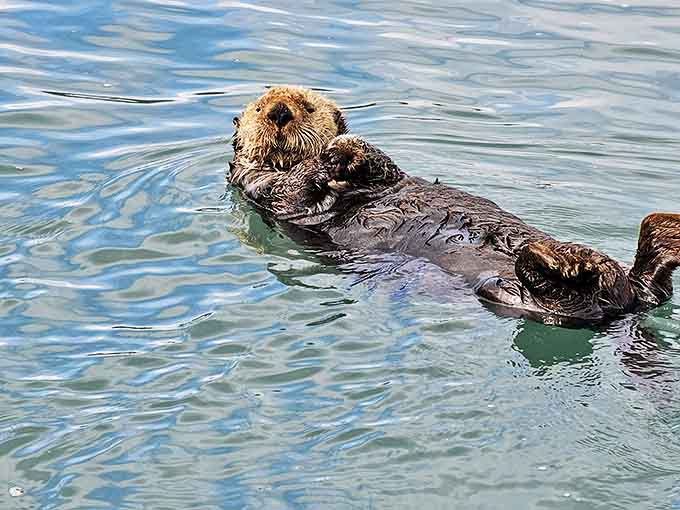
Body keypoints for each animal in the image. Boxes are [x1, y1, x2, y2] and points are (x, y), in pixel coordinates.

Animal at [229, 86, 680, 325]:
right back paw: (562, 257)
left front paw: (347, 150)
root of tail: (625, 308)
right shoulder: (259, 188)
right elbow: (292, 190)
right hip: (511, 294)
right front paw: (330, 158)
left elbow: (381, 167)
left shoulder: (385, 175)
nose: (279, 111)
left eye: (307, 106)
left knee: (648, 285)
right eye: (258, 108)